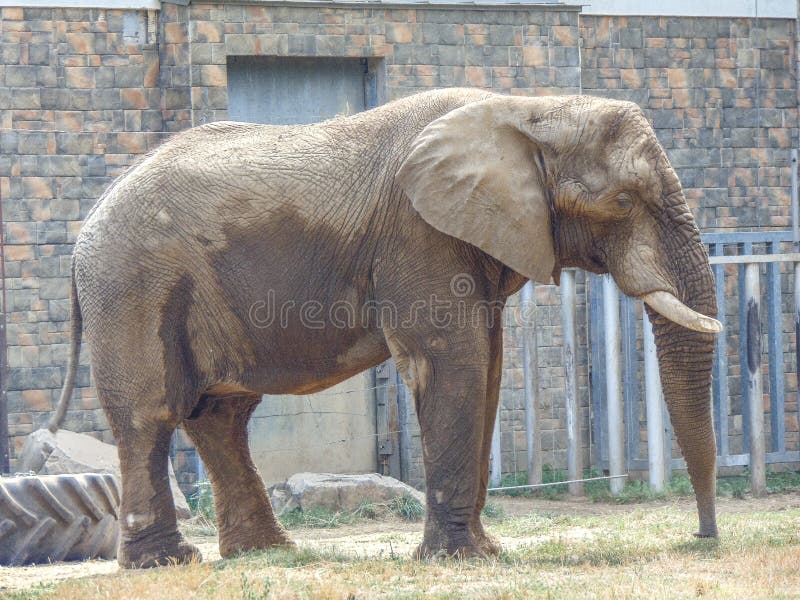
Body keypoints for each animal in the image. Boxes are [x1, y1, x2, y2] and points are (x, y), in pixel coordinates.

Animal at [49, 87, 722, 568]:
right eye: (624, 201)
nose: (702, 538)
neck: (529, 108)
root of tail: (86, 229)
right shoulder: (420, 236)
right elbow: (454, 363)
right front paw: (461, 560)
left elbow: (488, 368)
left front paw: (483, 552)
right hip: (134, 287)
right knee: (153, 414)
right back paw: (167, 564)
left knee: (221, 415)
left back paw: (267, 553)